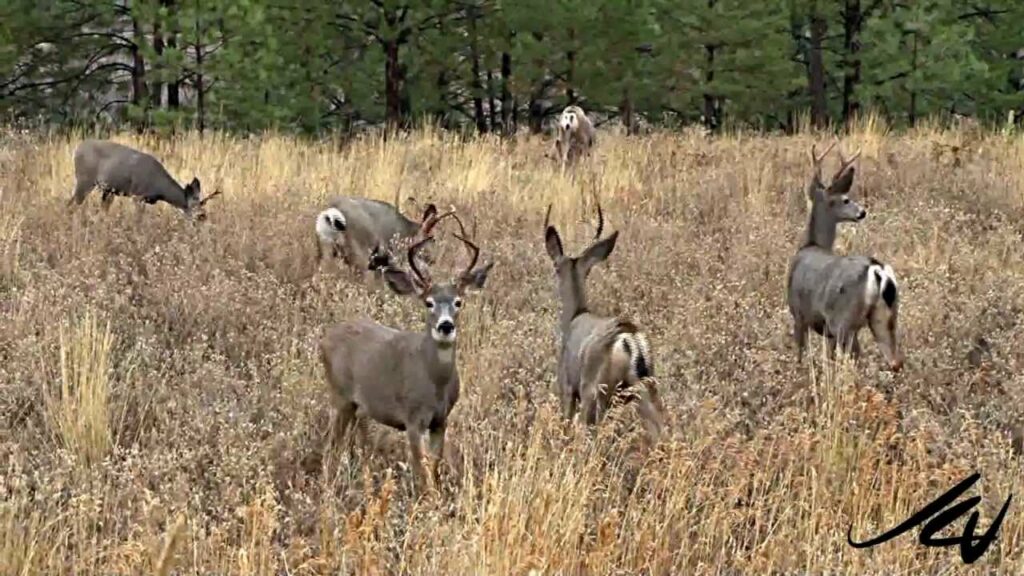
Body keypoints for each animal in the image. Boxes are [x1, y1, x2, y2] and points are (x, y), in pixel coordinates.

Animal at [68, 139, 221, 221]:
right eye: (200, 215)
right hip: (85, 180)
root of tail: (77, 149)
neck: (160, 187)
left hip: (106, 189)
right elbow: (139, 220)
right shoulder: (138, 195)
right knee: (72, 203)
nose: (205, 219)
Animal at [318, 215, 494, 493]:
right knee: (331, 444)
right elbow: (421, 471)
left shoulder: (441, 420)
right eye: (428, 302)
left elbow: (435, 466)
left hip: (358, 405)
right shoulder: (412, 419)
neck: (434, 383)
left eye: (458, 302)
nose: (446, 326)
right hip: (340, 395)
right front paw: (426, 499)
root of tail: (324, 338)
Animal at [543, 201, 665, 443]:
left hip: (596, 390)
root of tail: (629, 337)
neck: (574, 316)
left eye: (556, 267)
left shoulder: (567, 387)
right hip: (644, 388)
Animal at [786, 141, 904, 372]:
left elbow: (800, 354)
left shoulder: (799, 314)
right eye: (846, 200)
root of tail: (876, 269)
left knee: (857, 357)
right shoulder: (827, 331)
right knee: (896, 360)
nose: (862, 212)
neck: (810, 245)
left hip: (843, 321)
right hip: (885, 315)